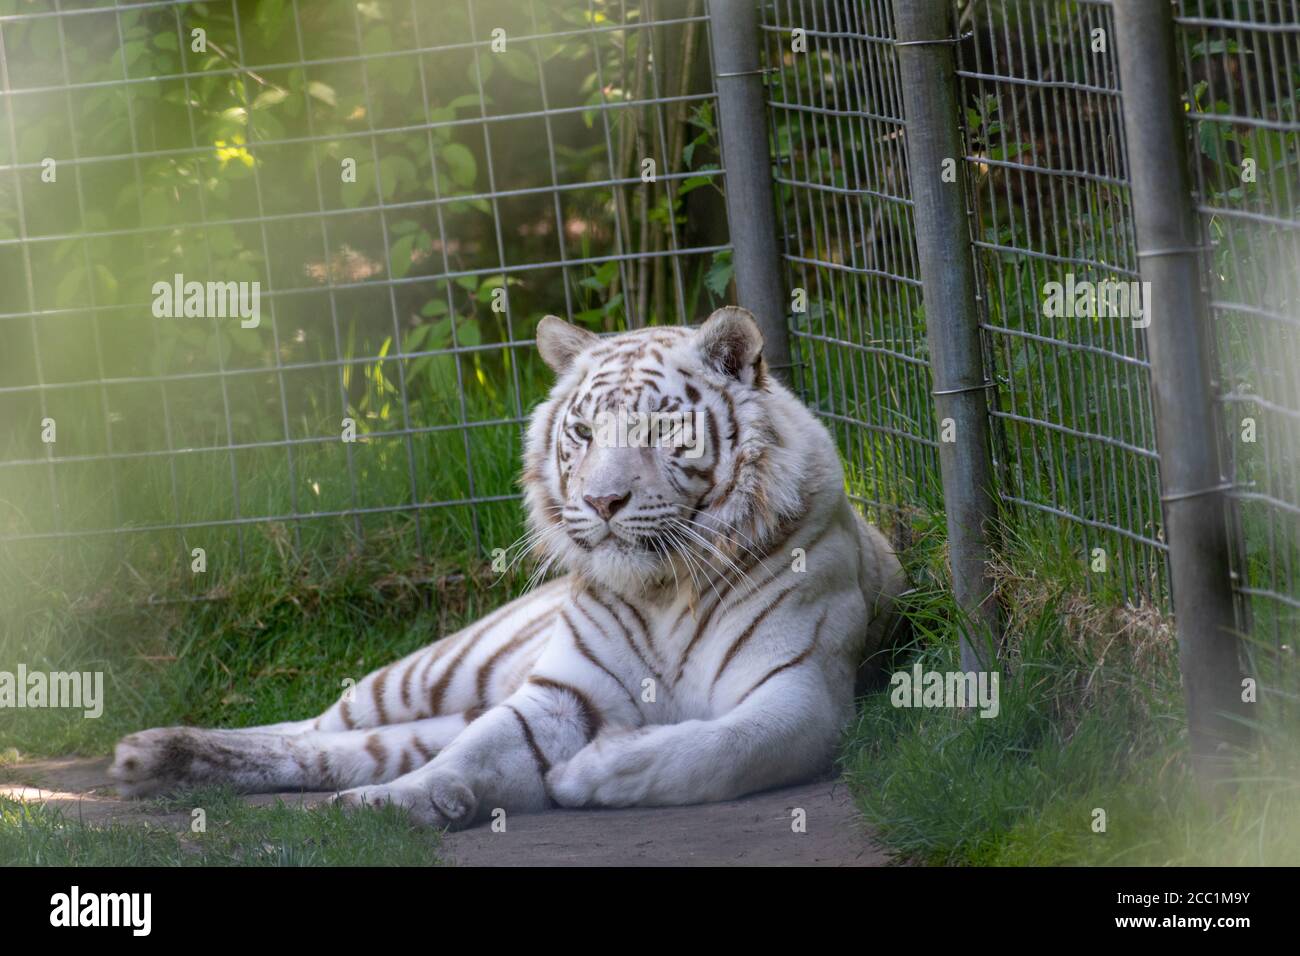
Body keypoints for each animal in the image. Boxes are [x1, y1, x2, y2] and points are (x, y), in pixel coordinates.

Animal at [109, 306, 907, 828]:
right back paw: (147, 754)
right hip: (430, 671)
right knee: (314, 726)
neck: (663, 591)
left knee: (337, 748)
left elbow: (712, 748)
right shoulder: (560, 694)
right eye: (582, 430)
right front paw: (392, 804)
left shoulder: (799, 696)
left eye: (659, 425)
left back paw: (157, 762)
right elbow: (478, 750)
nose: (602, 499)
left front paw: (587, 773)